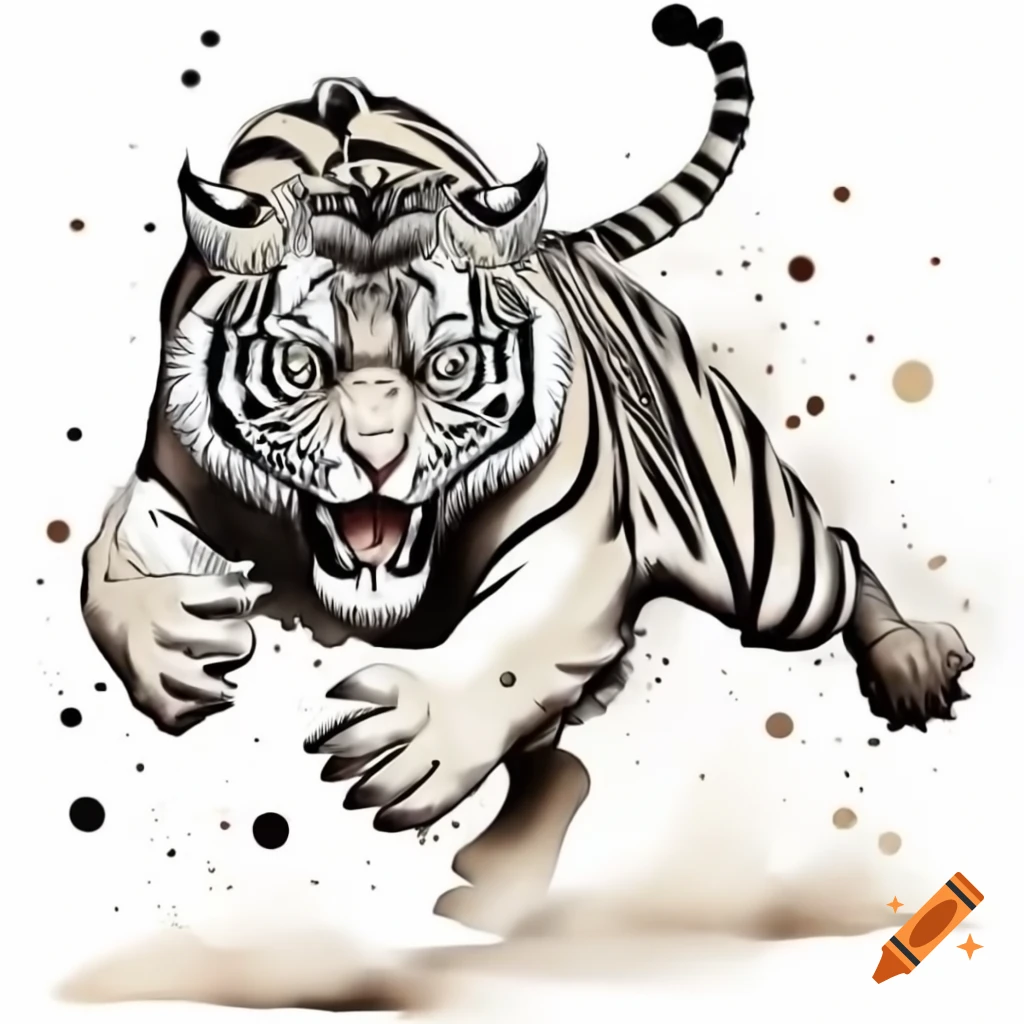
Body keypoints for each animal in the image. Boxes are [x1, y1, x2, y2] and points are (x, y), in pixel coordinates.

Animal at [81, 7, 973, 934]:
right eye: (301, 366)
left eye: (447, 365)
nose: (375, 454)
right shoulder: (165, 473)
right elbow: (112, 558)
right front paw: (176, 641)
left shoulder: (579, 541)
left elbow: (512, 645)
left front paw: (411, 735)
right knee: (558, 755)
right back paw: (502, 882)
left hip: (768, 565)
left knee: (839, 557)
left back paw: (910, 662)